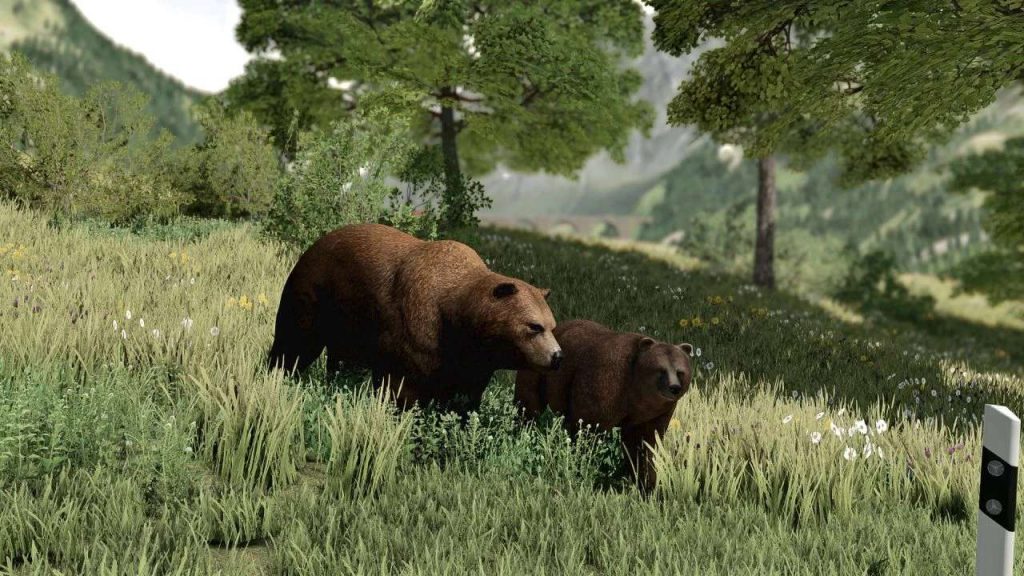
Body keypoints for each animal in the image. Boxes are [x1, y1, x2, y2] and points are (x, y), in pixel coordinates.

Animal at [268, 223, 564, 414]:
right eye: (534, 326)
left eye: (552, 326)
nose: (557, 356)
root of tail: (315, 244)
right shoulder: (415, 332)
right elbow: (401, 387)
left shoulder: (471, 364)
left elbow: (464, 398)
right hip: (313, 294)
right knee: (294, 341)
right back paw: (278, 375)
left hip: (349, 318)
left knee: (342, 359)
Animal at [514, 319, 693, 493]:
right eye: (661, 370)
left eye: (680, 372)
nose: (674, 388)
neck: (637, 393)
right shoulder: (603, 388)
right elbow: (587, 434)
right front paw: (583, 474)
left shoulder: (652, 414)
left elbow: (643, 445)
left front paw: (647, 486)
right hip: (538, 373)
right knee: (528, 407)